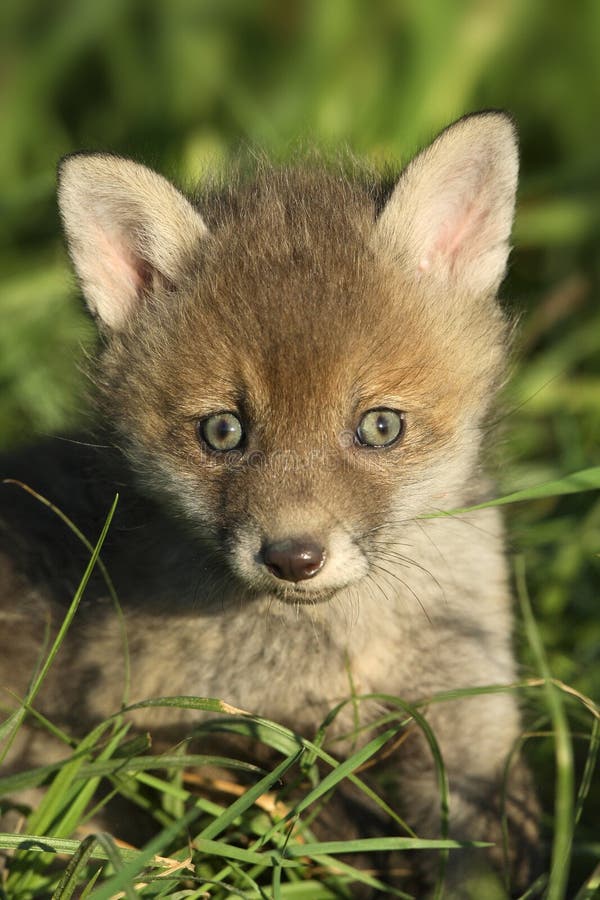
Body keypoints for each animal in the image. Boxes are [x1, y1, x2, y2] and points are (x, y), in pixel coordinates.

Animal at [0, 111, 539, 896]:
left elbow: (483, 848)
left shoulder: (467, 705)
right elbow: (293, 814)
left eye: (380, 427)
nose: (294, 557)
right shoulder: (158, 717)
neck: (345, 648)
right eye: (223, 431)